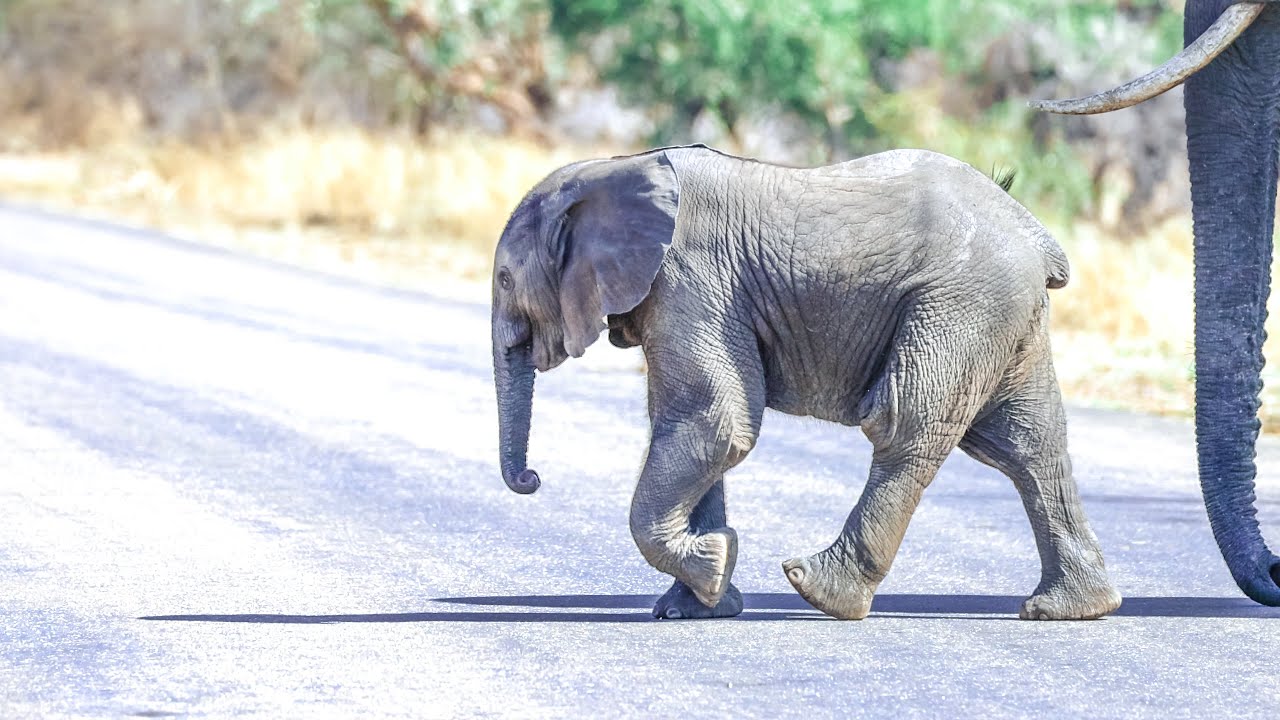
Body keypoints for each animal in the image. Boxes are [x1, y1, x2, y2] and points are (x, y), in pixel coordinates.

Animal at [490, 144, 1123, 621]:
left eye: (502, 279)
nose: (532, 479)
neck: (618, 170)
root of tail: (1036, 236)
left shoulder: (690, 280)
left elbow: (715, 421)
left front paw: (713, 567)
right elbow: (689, 423)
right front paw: (697, 603)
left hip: (963, 306)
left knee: (905, 428)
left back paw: (818, 590)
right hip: (1002, 315)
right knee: (1027, 445)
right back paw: (1070, 608)